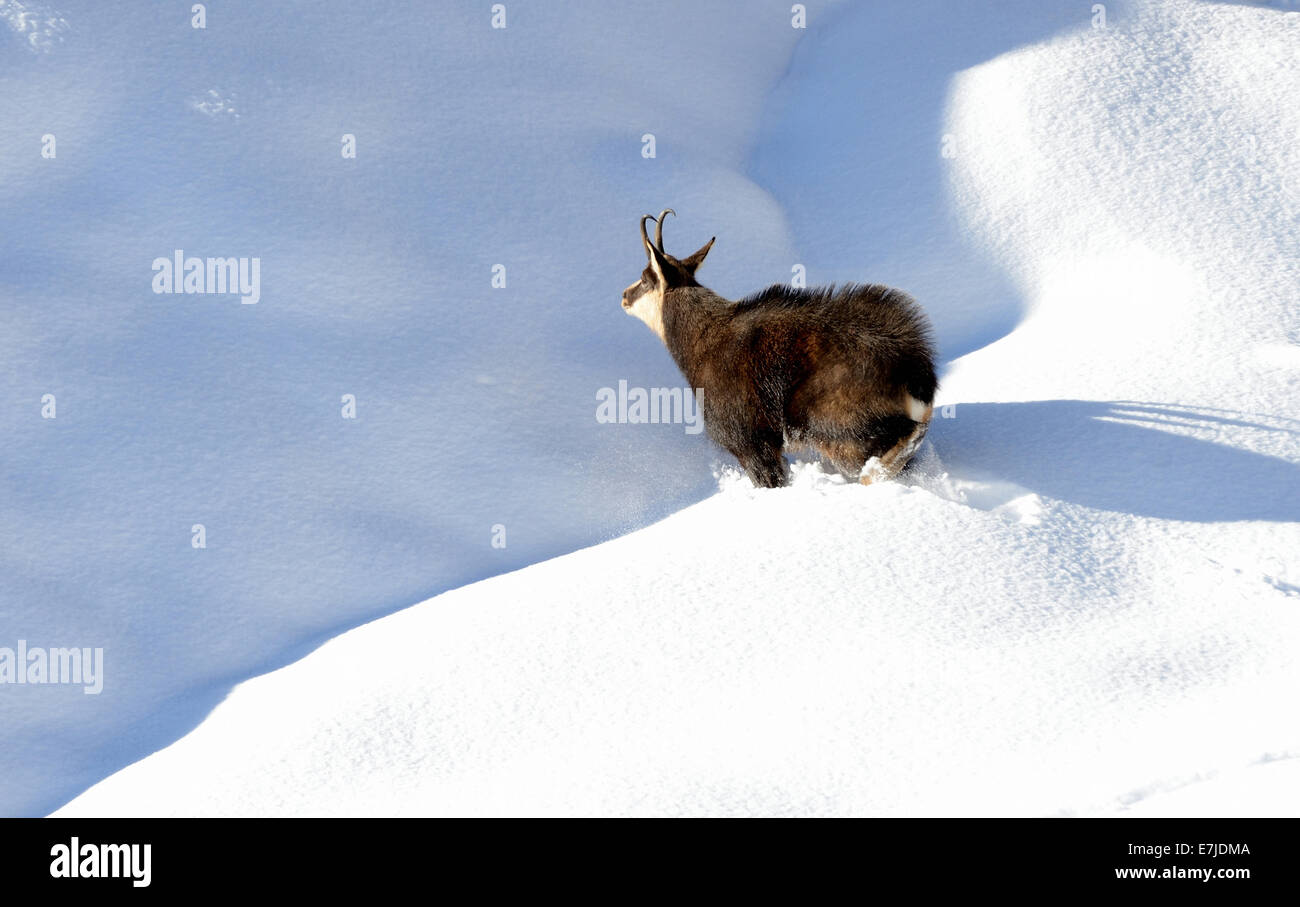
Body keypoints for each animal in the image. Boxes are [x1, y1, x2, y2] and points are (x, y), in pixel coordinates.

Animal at [621, 209, 937, 488]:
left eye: (646, 278)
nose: (624, 295)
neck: (700, 340)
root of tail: (915, 374)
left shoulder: (751, 442)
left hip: (834, 427)